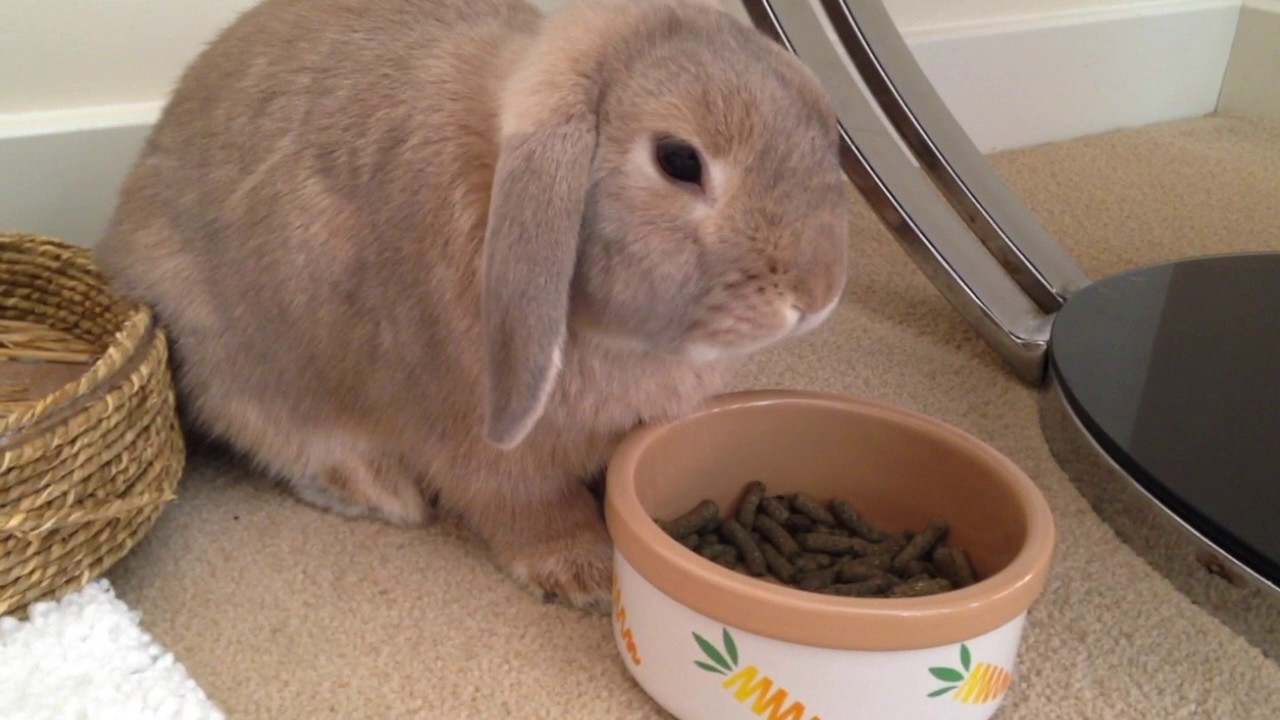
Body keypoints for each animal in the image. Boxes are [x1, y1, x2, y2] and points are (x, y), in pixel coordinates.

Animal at [93, 0, 850, 612]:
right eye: (679, 161)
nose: (817, 294)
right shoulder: (477, 440)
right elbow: (525, 503)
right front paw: (582, 574)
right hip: (222, 351)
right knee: (274, 431)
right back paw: (375, 491)